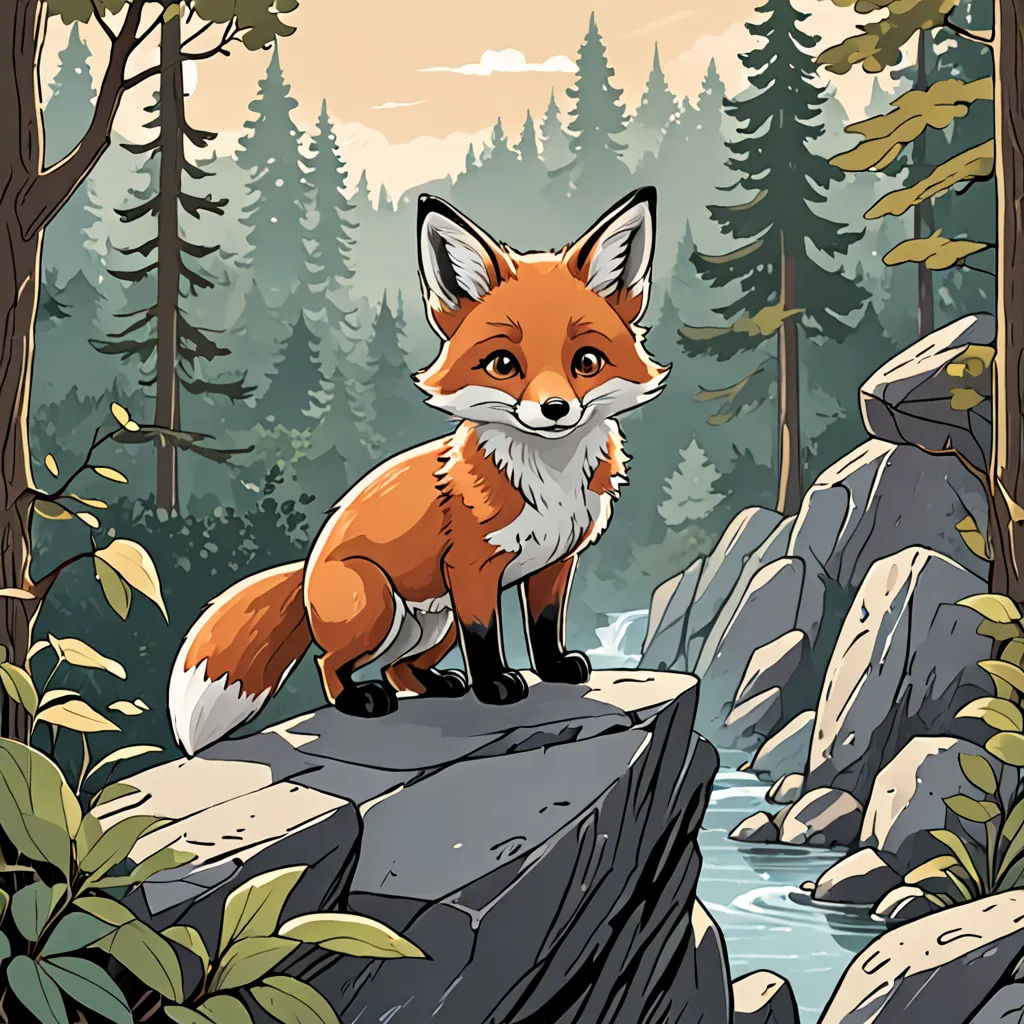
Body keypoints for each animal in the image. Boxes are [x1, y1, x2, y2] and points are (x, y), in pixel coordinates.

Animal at [168, 185, 668, 755]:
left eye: (586, 362)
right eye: (503, 365)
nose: (555, 409)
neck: (549, 482)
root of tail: (306, 569)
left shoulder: (555, 563)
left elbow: (543, 627)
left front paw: (554, 669)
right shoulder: (472, 570)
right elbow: (485, 640)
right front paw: (495, 686)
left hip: (435, 624)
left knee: (398, 670)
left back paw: (438, 684)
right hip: (378, 609)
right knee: (330, 663)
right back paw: (360, 699)